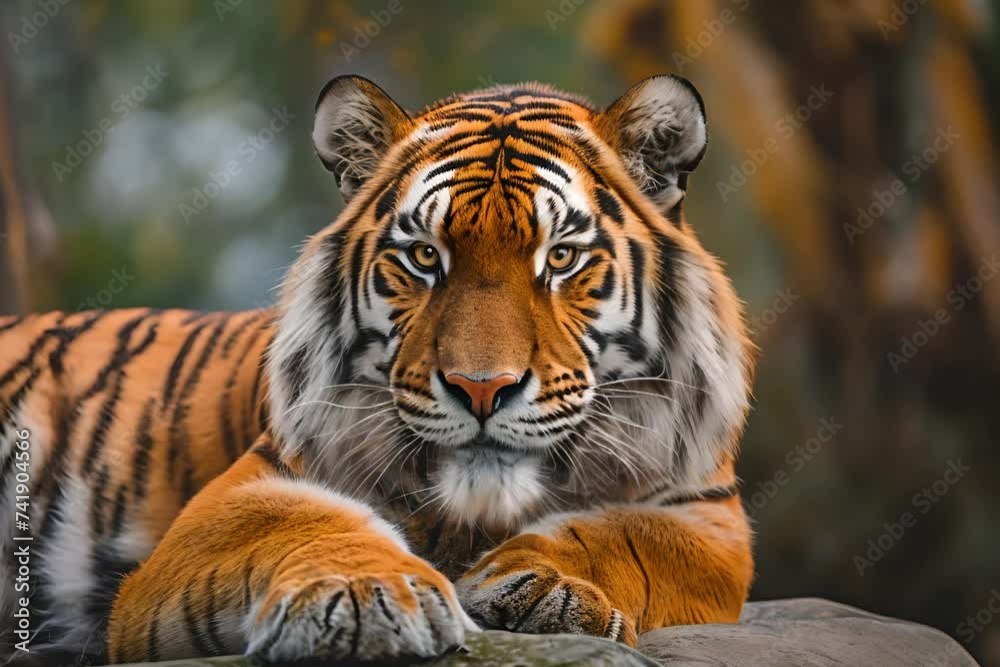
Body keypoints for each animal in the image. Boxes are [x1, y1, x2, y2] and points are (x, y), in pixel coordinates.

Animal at [0, 74, 754, 663]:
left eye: (561, 257)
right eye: (423, 256)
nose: (483, 388)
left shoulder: (707, 515)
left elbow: (622, 534)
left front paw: (545, 590)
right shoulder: (244, 490)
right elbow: (301, 523)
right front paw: (361, 594)